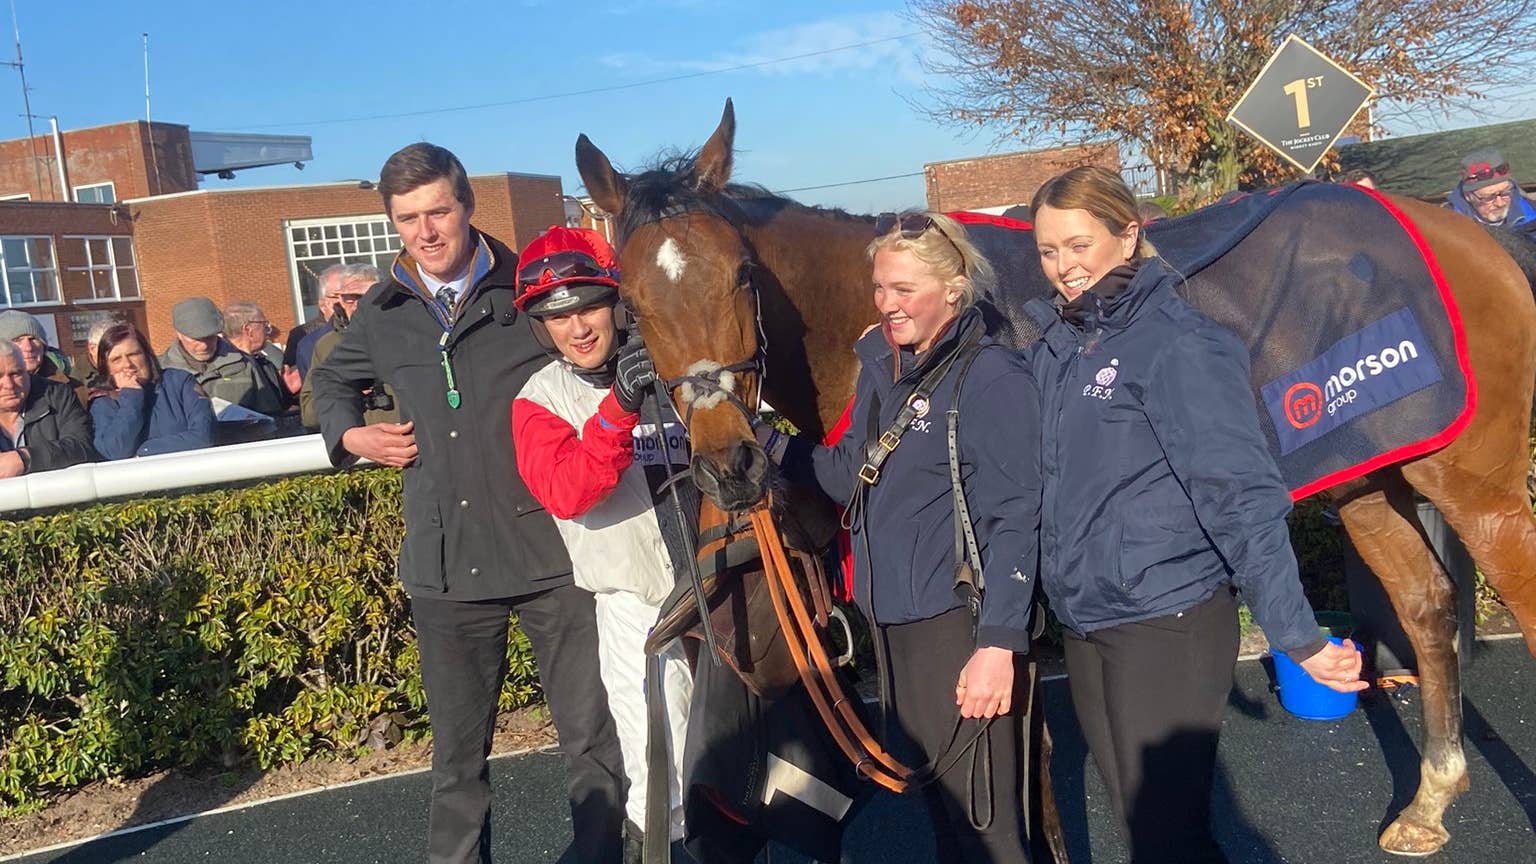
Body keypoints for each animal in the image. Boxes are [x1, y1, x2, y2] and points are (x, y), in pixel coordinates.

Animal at [575, 100, 1536, 857]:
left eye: (741, 274)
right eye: (632, 300)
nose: (731, 463)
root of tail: (1469, 235)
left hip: (1479, 487)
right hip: (1369, 478)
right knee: (1427, 606)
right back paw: (1430, 800)